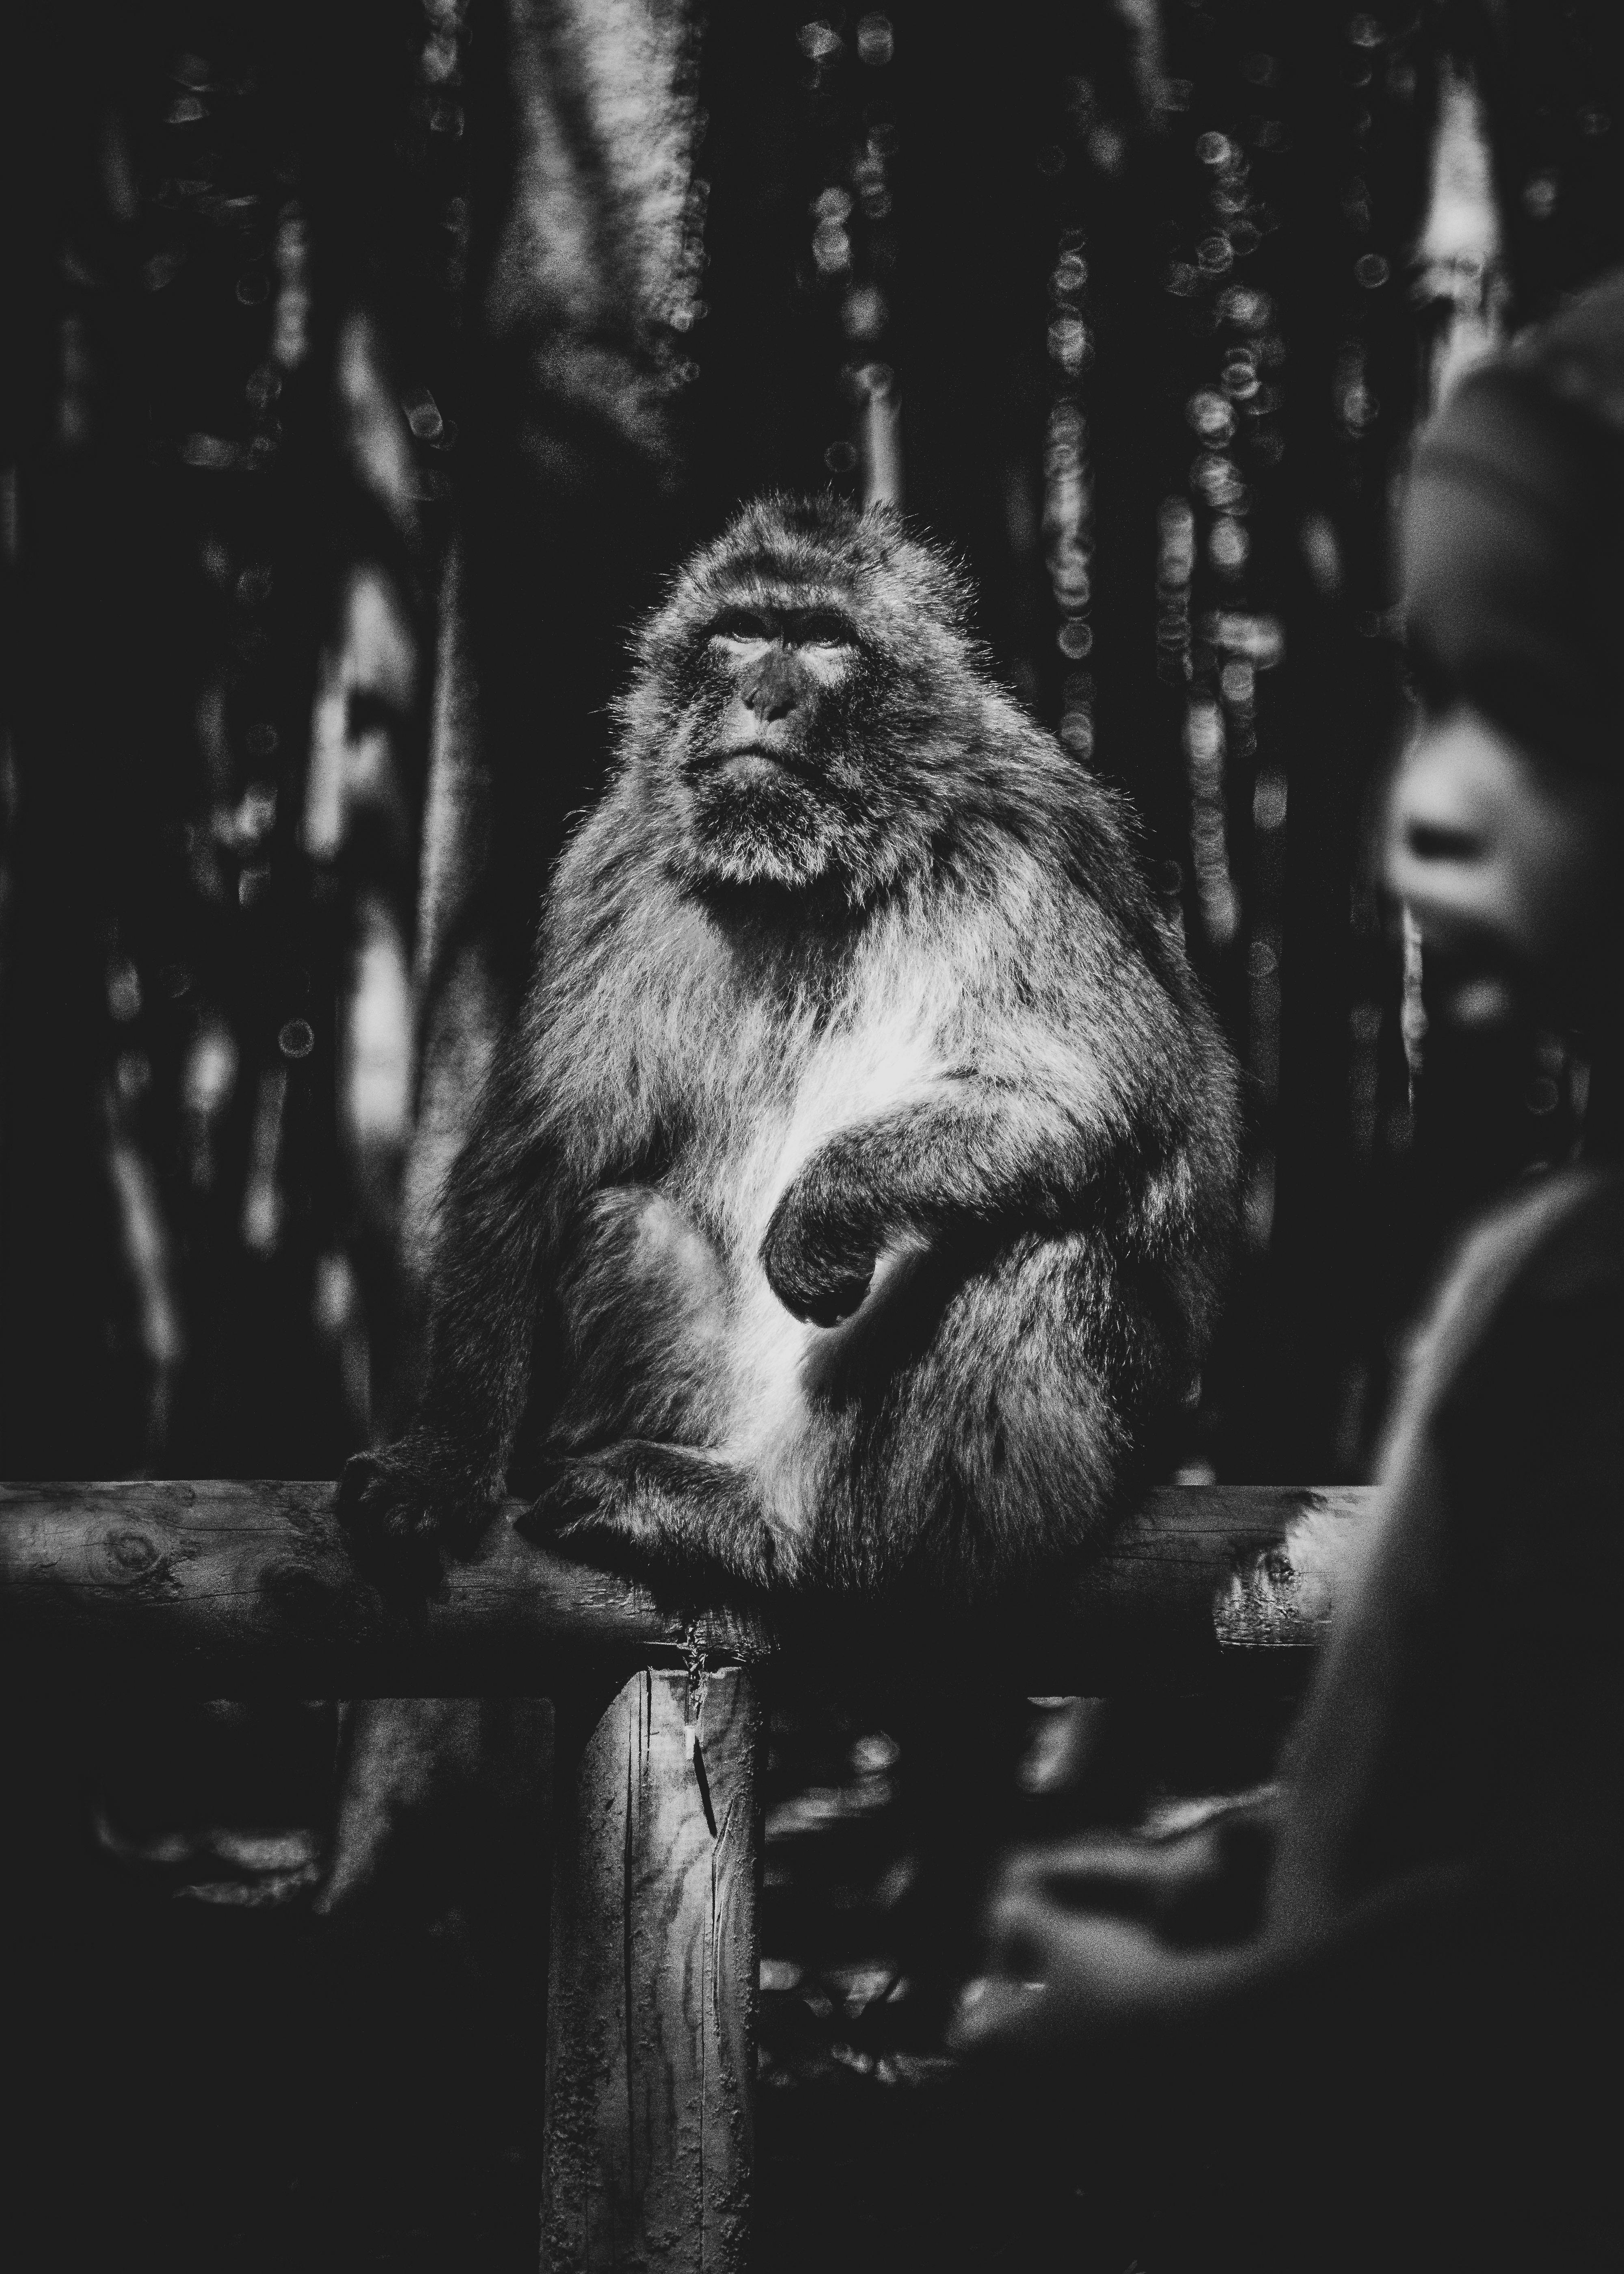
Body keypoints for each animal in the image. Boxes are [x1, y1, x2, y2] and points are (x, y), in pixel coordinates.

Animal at [340, 493, 1242, 1597]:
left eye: (821, 640)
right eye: (739, 632)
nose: (764, 695)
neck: (813, 876)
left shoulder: (1031, 843)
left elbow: (1107, 1089)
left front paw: (824, 1208)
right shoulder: (620, 867)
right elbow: (540, 1152)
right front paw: (446, 1457)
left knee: (1032, 1240)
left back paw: (787, 1535)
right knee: (625, 1216)